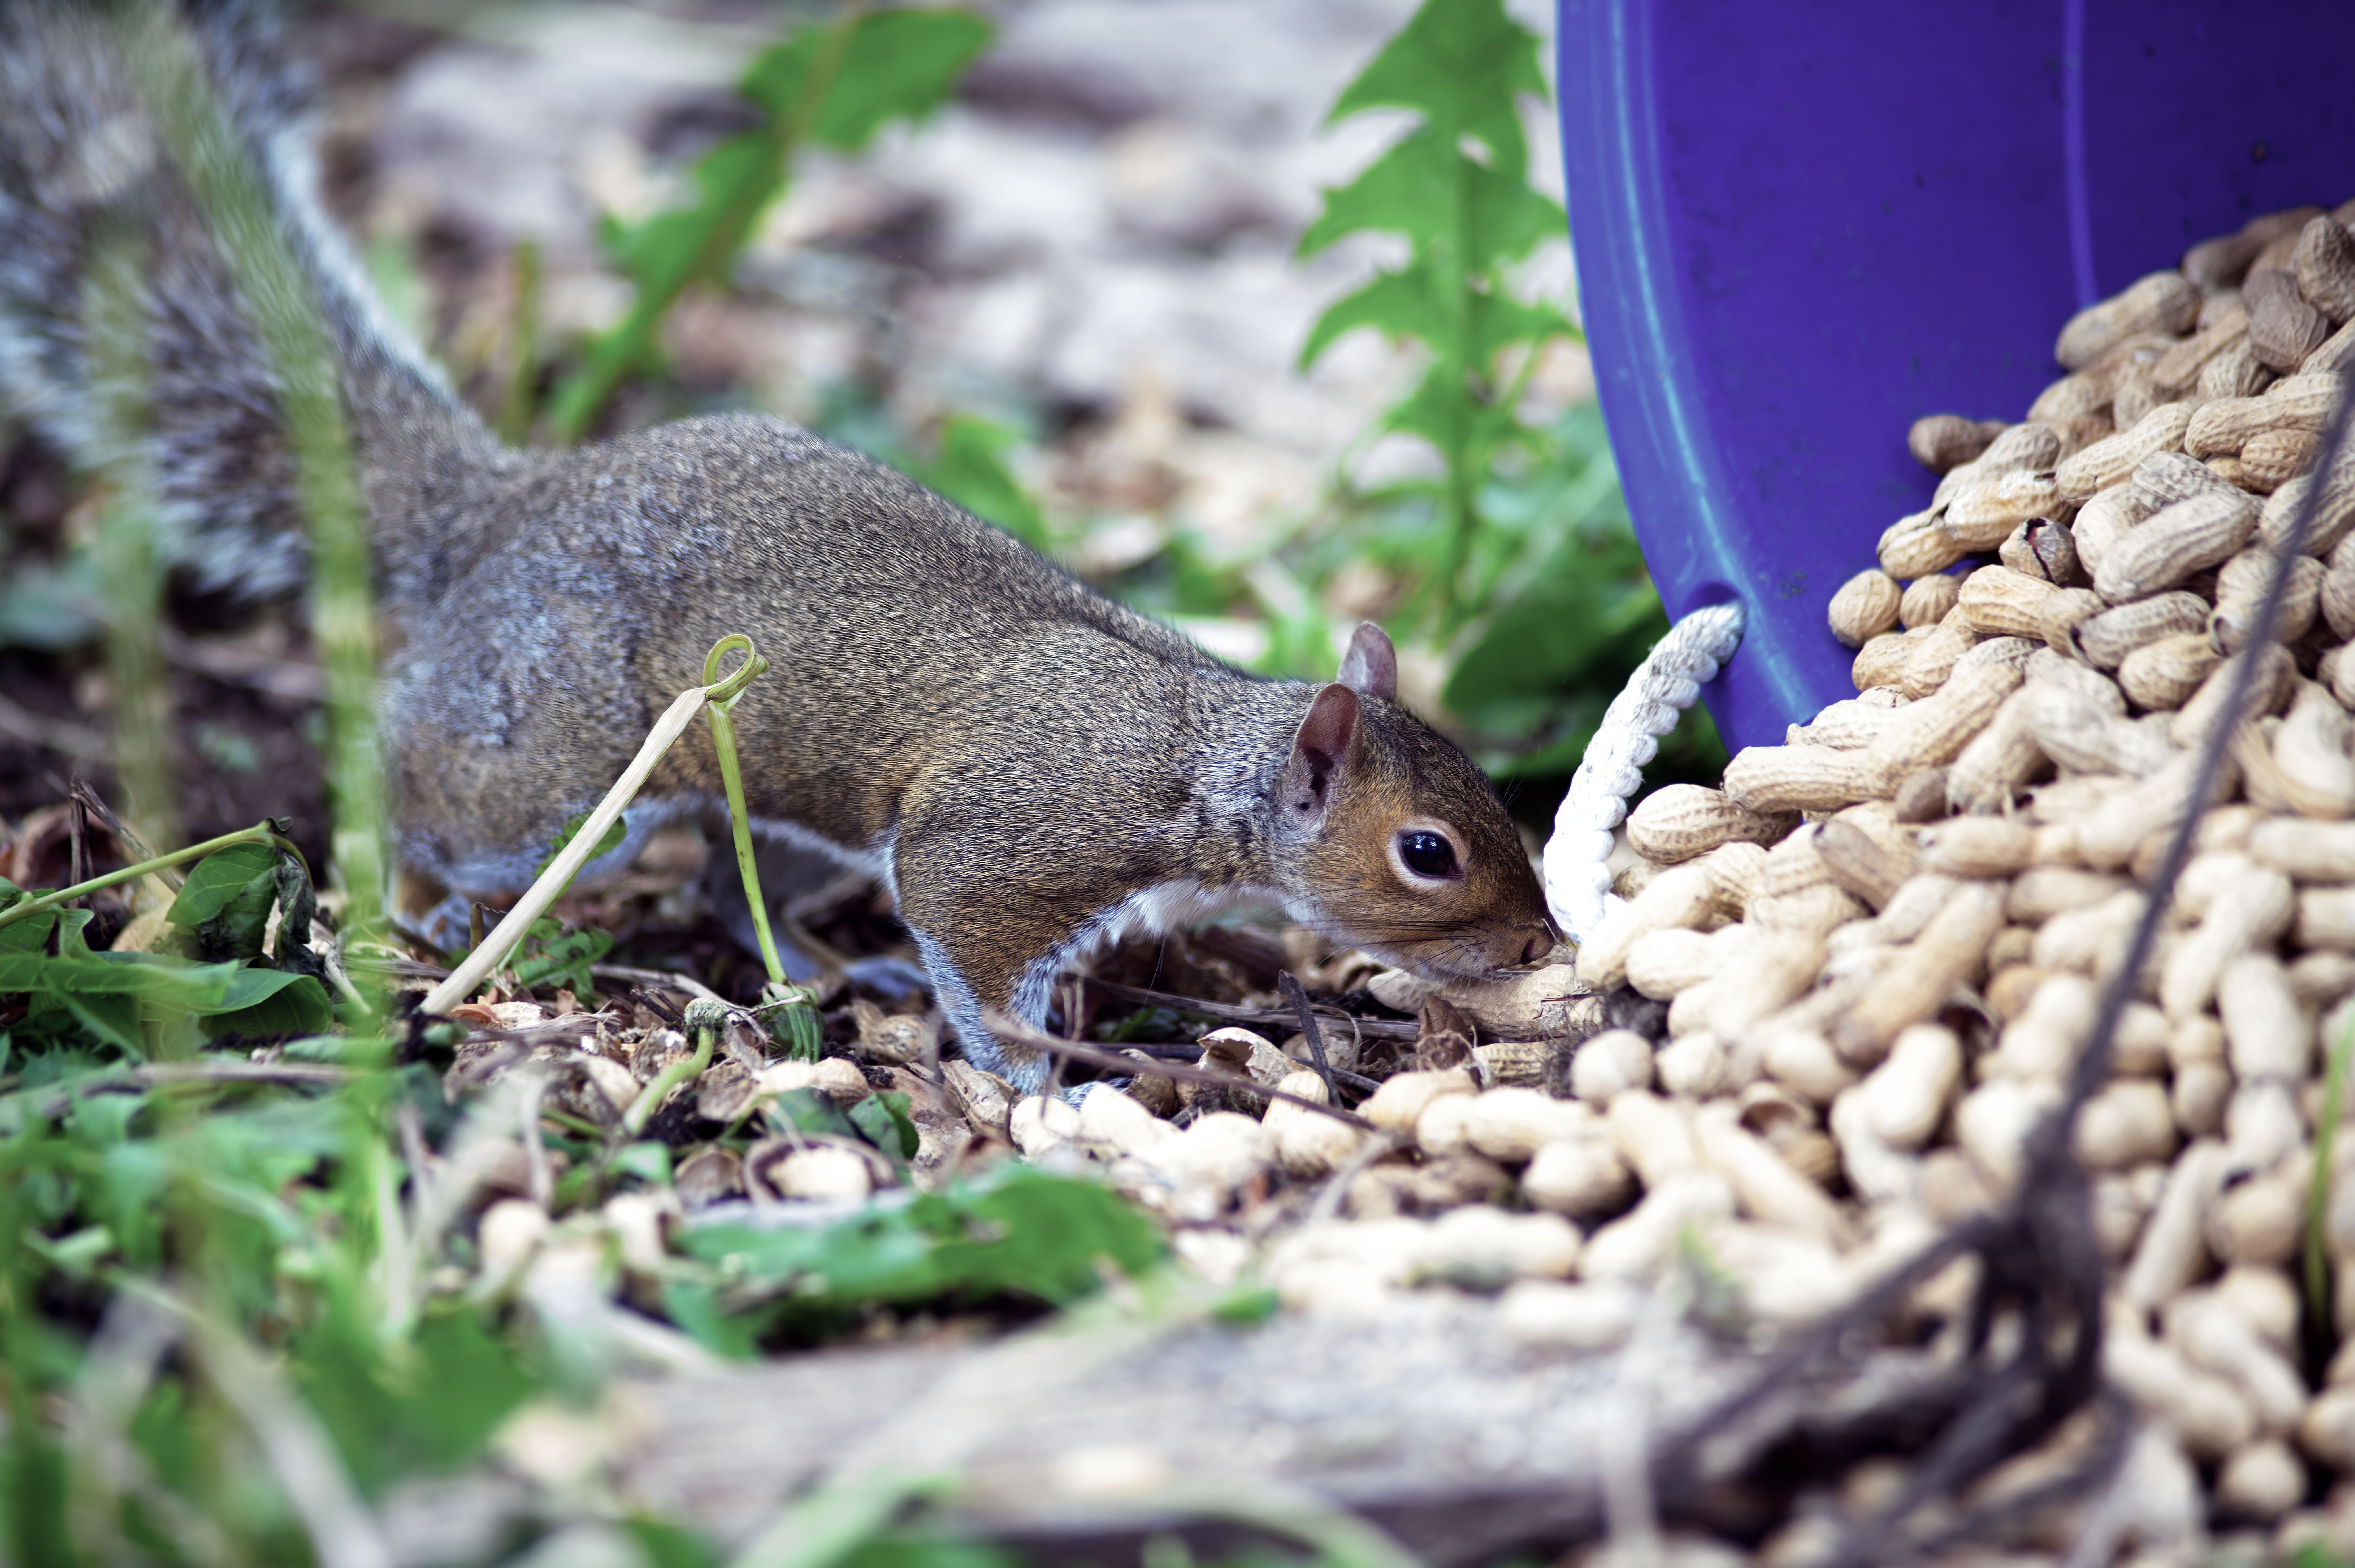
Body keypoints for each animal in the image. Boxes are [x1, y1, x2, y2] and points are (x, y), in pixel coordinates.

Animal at [0, 1, 1560, 1090]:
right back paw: (416, 908)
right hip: (551, 779)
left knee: (720, 880)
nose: (1543, 942)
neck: (1202, 768)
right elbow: (976, 959)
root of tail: (504, 508)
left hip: (785, 798)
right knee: (425, 785)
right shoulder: (1003, 847)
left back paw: (818, 960)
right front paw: (1037, 1083)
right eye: (1427, 852)